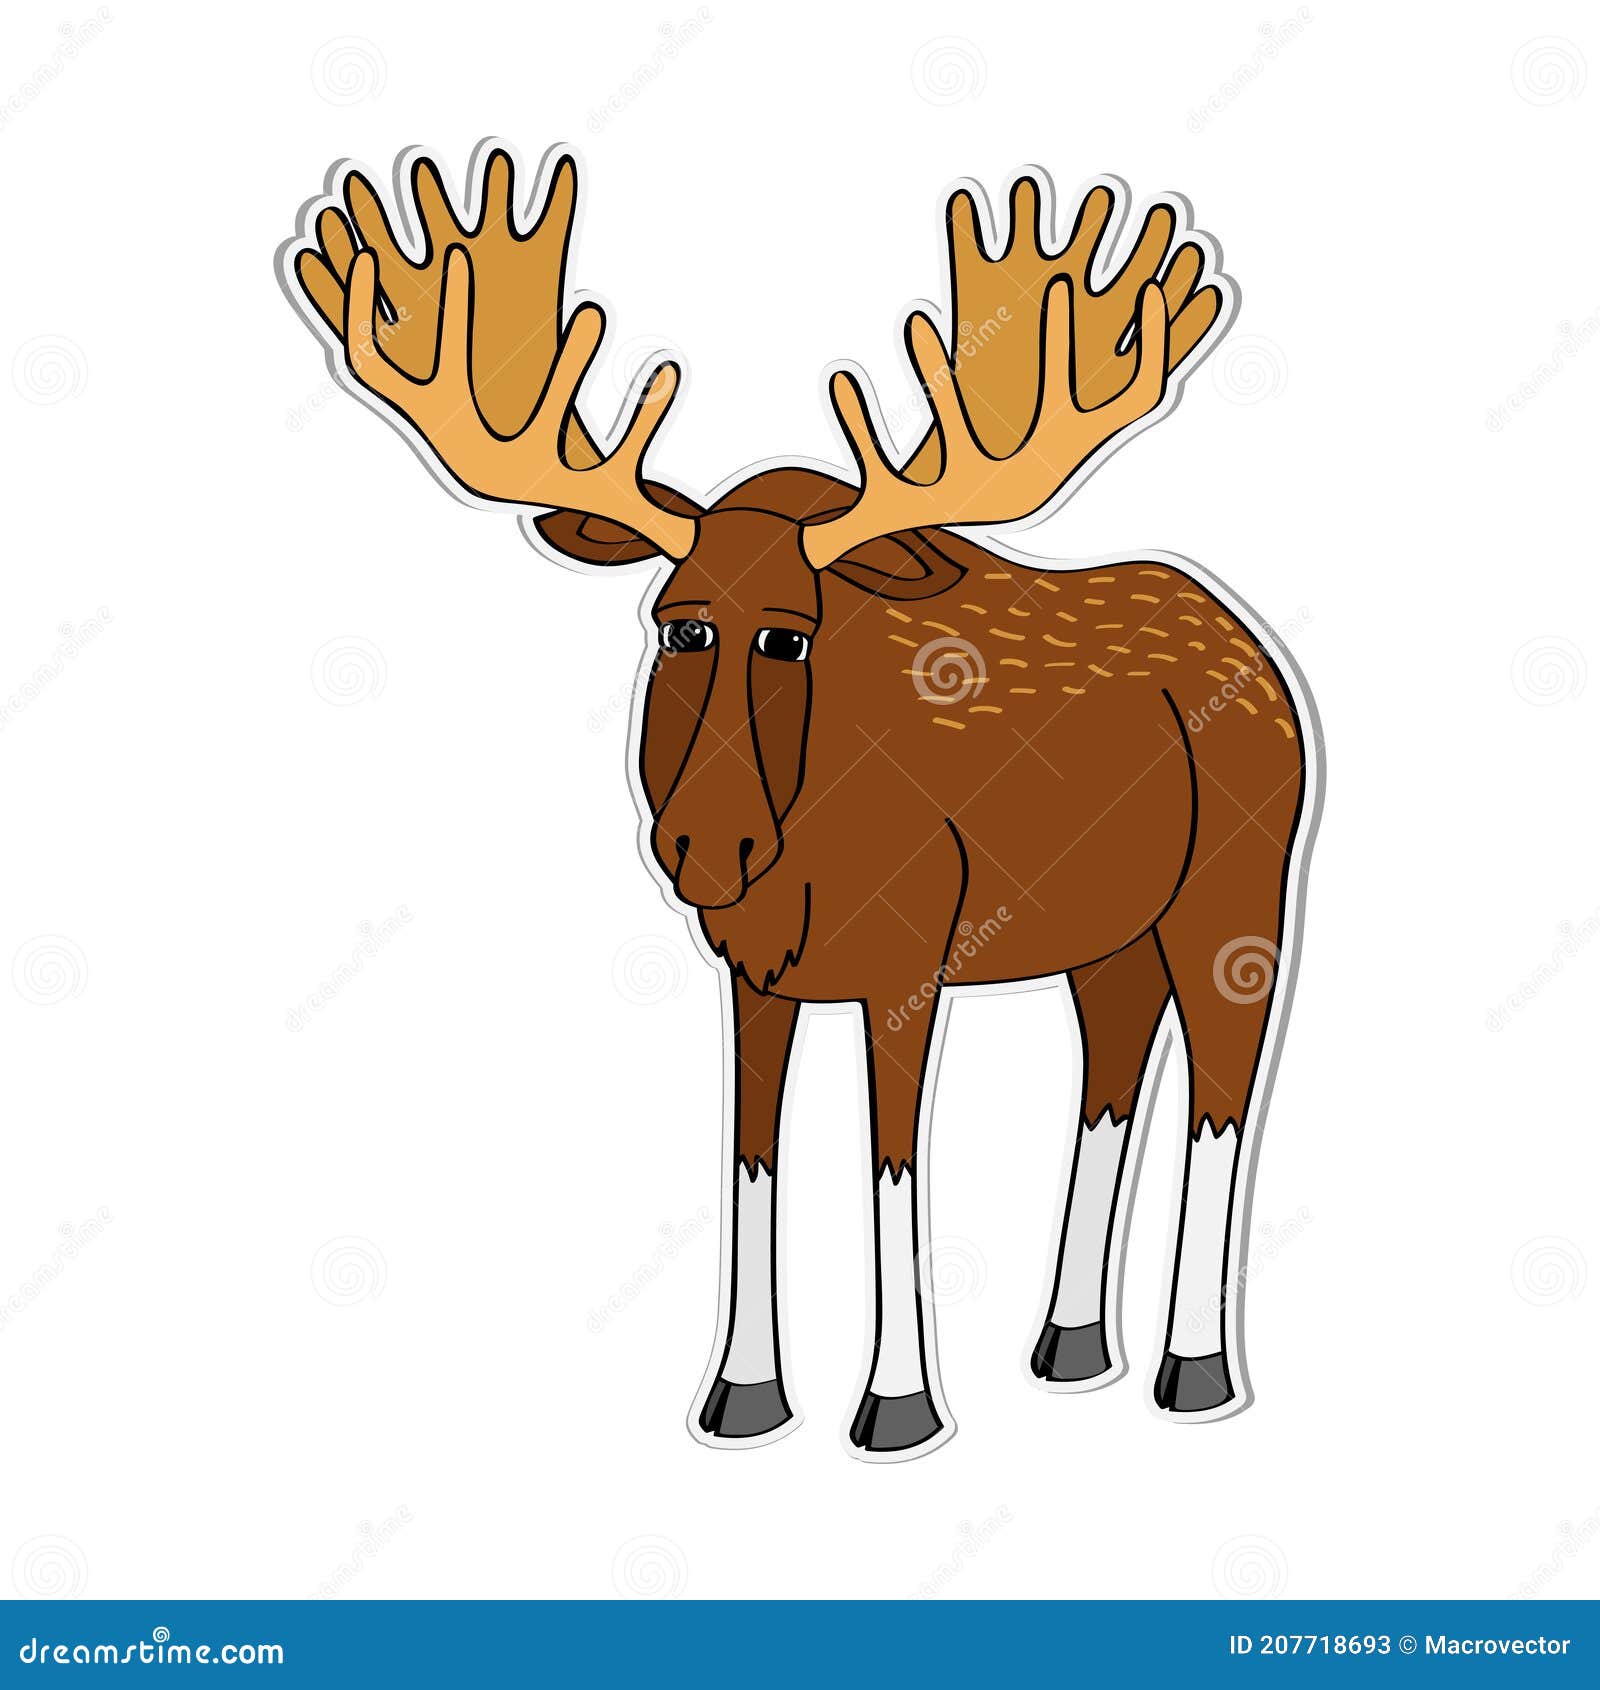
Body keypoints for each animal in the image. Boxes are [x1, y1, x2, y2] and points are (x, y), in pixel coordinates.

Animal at [282, 142, 1316, 1460]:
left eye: (790, 633)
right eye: (677, 623)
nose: (704, 843)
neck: (804, 849)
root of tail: (1257, 650)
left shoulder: (912, 963)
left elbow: (891, 1164)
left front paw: (898, 1401)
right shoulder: (751, 967)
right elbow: (751, 1154)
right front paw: (745, 1391)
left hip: (1237, 893)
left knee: (1225, 1091)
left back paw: (1194, 1364)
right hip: (1107, 930)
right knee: (1116, 1058)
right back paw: (1071, 1340)